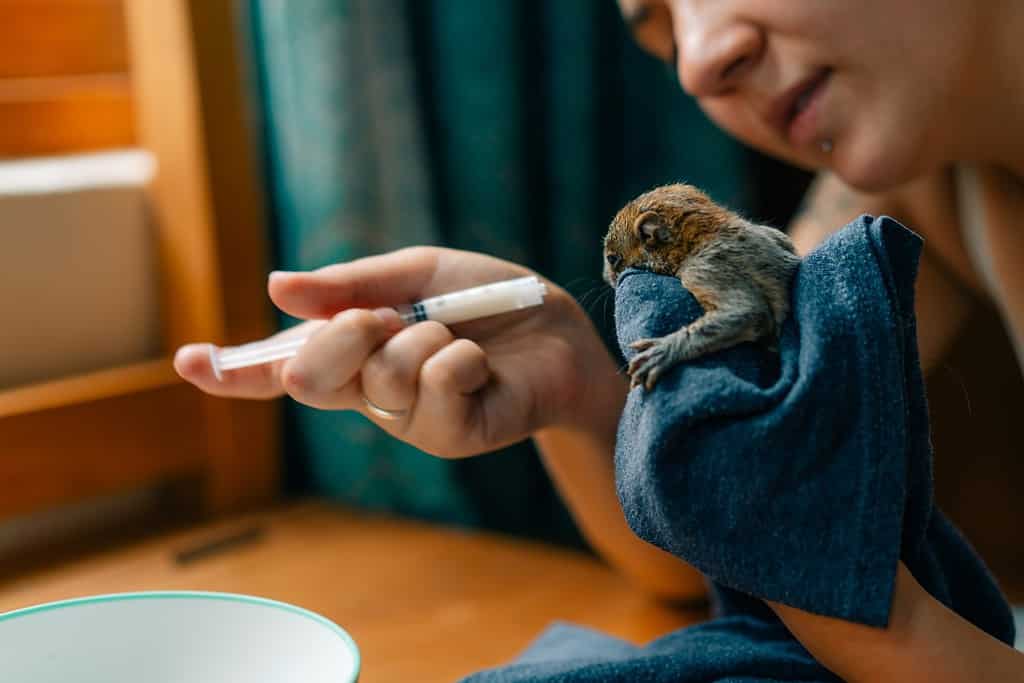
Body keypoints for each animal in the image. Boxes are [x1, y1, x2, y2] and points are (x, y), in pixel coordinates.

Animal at [603, 183, 801, 390]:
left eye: (612, 259)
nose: (605, 277)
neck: (703, 235)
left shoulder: (702, 269)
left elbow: (748, 312)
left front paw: (665, 351)